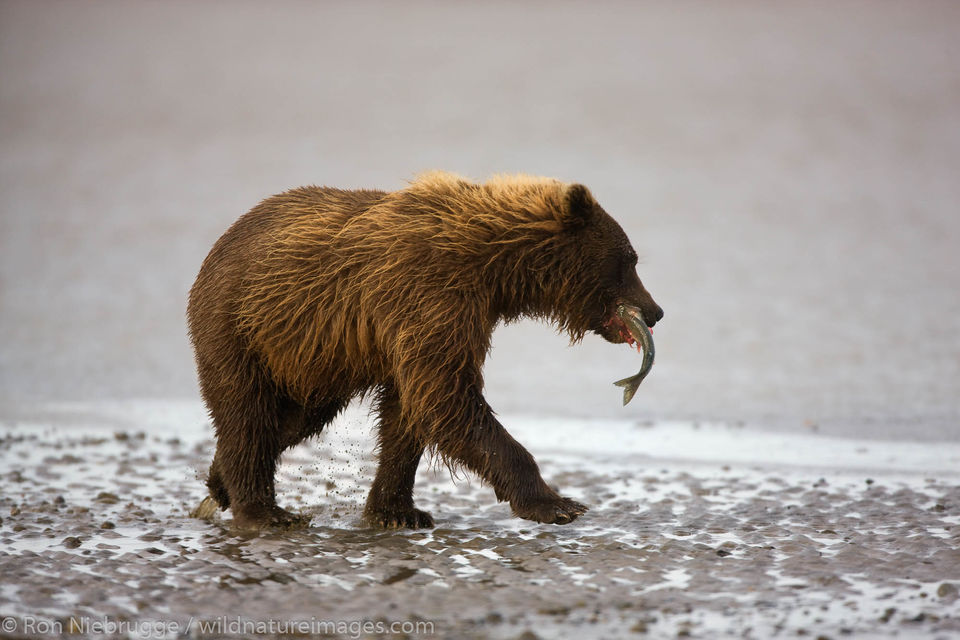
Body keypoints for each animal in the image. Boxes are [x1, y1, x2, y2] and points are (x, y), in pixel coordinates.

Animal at [187, 172, 663, 530]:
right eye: (630, 260)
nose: (655, 312)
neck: (492, 269)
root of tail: (219, 244)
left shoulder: (438, 317)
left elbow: (410, 411)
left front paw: (396, 510)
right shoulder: (429, 296)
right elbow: (446, 398)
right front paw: (557, 502)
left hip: (310, 358)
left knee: (289, 420)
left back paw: (219, 482)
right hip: (241, 326)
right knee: (248, 413)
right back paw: (265, 512)